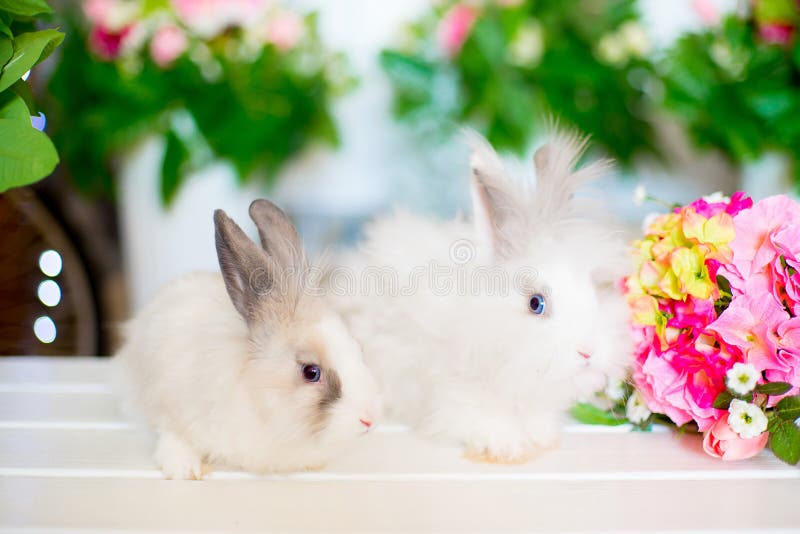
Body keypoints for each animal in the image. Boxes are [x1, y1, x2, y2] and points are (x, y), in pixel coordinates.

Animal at [116, 199, 382, 479]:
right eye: (311, 372)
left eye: (357, 348)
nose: (371, 418)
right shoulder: (168, 404)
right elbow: (170, 435)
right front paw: (184, 468)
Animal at [331, 133, 632, 464]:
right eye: (536, 303)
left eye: (593, 290)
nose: (588, 351)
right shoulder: (457, 396)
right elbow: (485, 422)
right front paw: (507, 447)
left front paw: (541, 437)